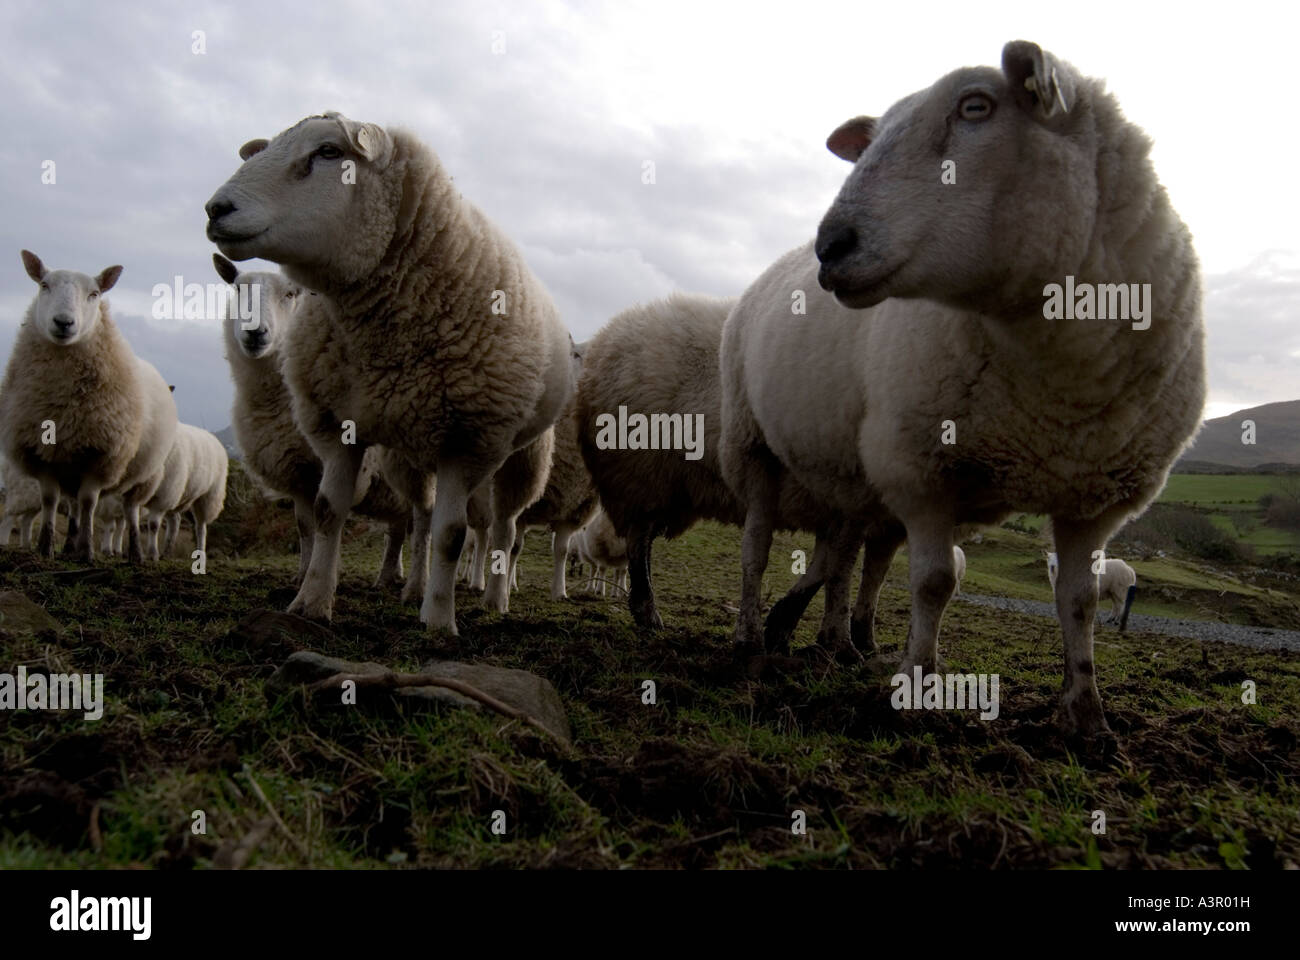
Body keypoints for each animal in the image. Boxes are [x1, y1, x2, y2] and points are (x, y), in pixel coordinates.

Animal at [0, 251, 178, 563]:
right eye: (44, 285)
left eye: (94, 294)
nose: (63, 322)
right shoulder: (44, 454)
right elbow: (51, 500)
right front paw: (46, 548)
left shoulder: (101, 456)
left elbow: (88, 502)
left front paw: (86, 551)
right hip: (70, 462)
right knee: (72, 506)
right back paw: (69, 545)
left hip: (145, 477)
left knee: (130, 511)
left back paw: (134, 553)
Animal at [214, 255, 418, 590]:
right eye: (238, 288)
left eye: (291, 294)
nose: (256, 332)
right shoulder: (298, 474)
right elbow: (304, 526)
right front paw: (302, 575)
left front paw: (325, 574)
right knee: (400, 525)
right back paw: (389, 575)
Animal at [580, 293, 893, 659]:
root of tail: (613, 330)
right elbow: (840, 567)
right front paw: (838, 643)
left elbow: (832, 564)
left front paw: (785, 626)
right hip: (643, 473)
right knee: (638, 540)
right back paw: (647, 611)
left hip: (668, 488)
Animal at [721, 41, 1205, 735]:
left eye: (977, 106)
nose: (830, 245)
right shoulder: (921, 470)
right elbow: (933, 584)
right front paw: (914, 687)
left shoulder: (1095, 497)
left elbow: (1079, 600)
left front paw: (1085, 714)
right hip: (752, 443)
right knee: (758, 547)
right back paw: (752, 639)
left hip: (852, 472)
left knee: (843, 558)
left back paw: (835, 643)